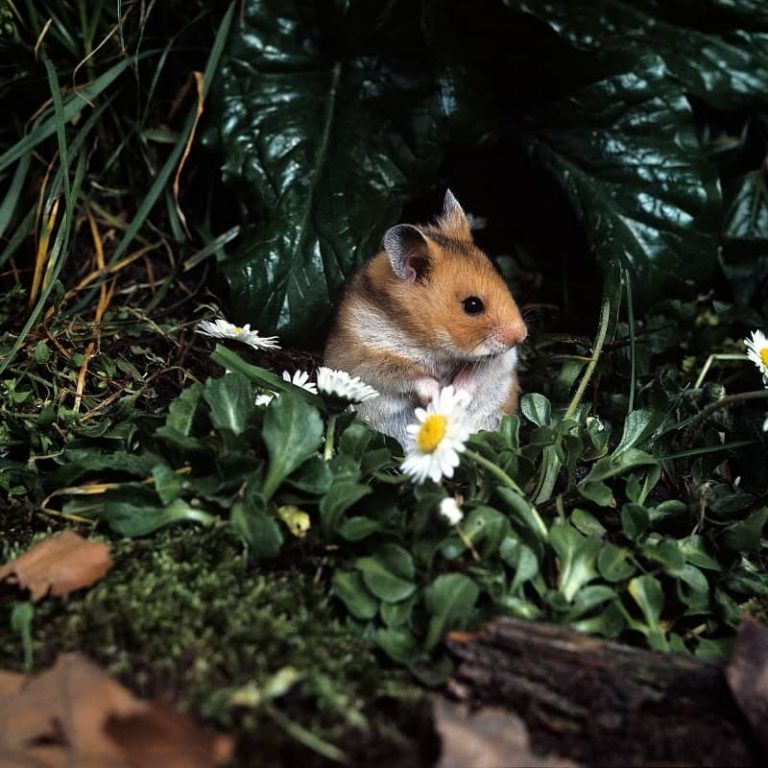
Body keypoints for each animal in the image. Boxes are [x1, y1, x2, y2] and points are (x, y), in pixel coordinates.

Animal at [324, 190, 527, 447]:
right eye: (472, 305)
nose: (522, 335)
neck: (431, 344)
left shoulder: (502, 360)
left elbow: (477, 372)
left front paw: (452, 395)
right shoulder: (364, 361)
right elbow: (409, 375)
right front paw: (438, 394)